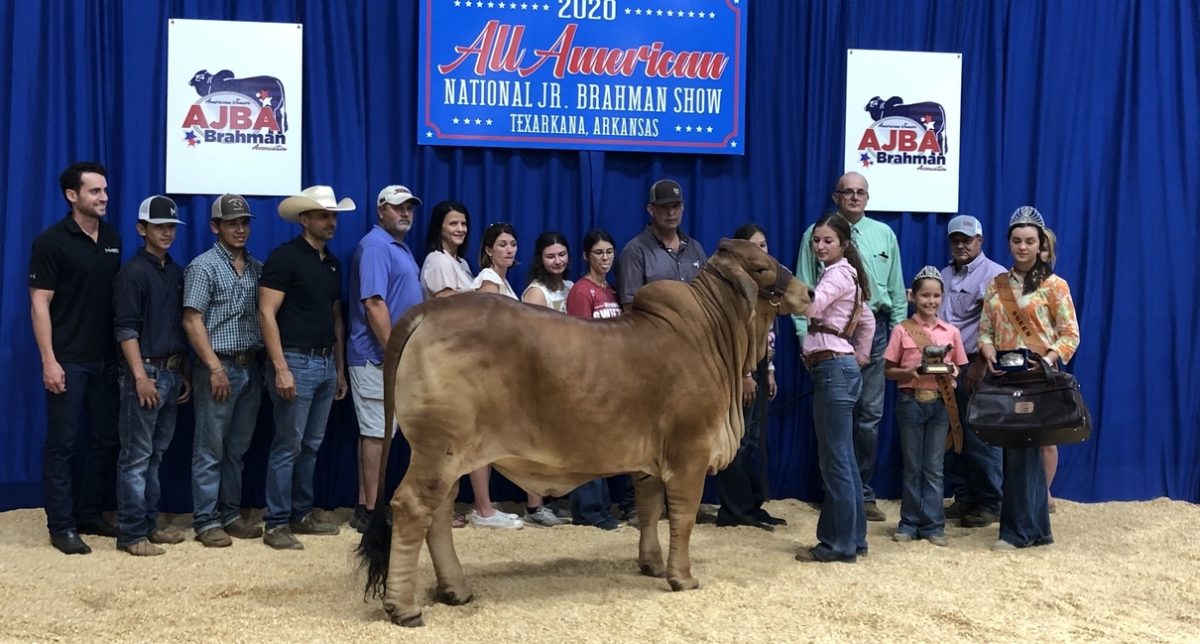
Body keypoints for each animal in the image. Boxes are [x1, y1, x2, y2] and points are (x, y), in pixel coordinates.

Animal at [356, 238, 812, 627]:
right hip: (439, 451)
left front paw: (650, 564)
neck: (711, 338)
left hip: (446, 456)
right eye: (761, 266)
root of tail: (429, 313)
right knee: (412, 507)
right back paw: (404, 607)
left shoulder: (649, 462)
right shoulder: (690, 455)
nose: (807, 292)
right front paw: (681, 576)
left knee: (437, 514)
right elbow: (682, 518)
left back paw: (456, 589)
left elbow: (649, 508)